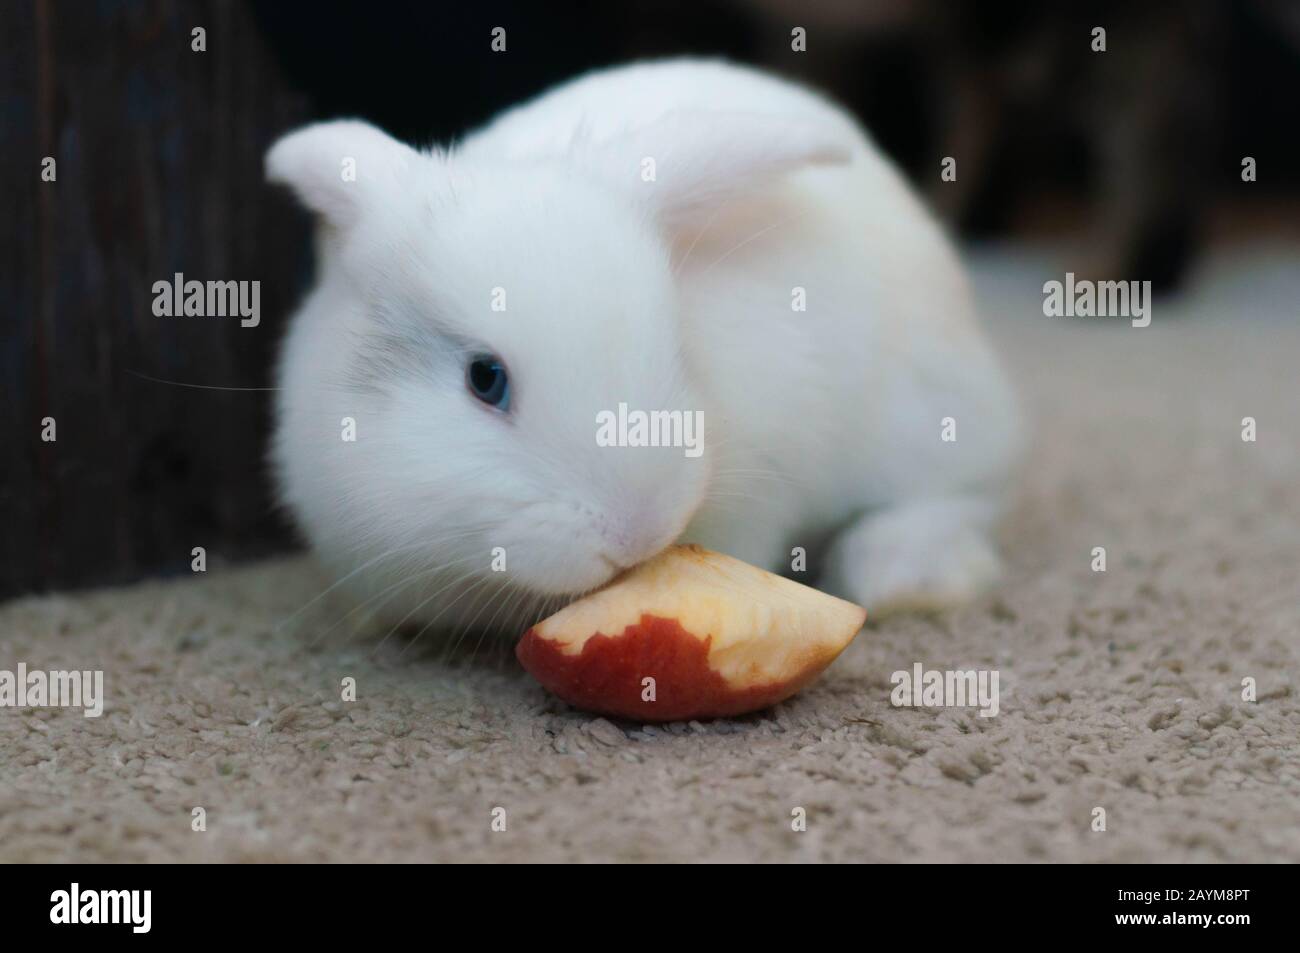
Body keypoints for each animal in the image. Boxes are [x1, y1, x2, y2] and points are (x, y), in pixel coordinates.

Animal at [266, 58, 1022, 640]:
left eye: (673, 346)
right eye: (484, 379)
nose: (634, 533)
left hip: (932, 419)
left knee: (960, 496)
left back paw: (901, 574)